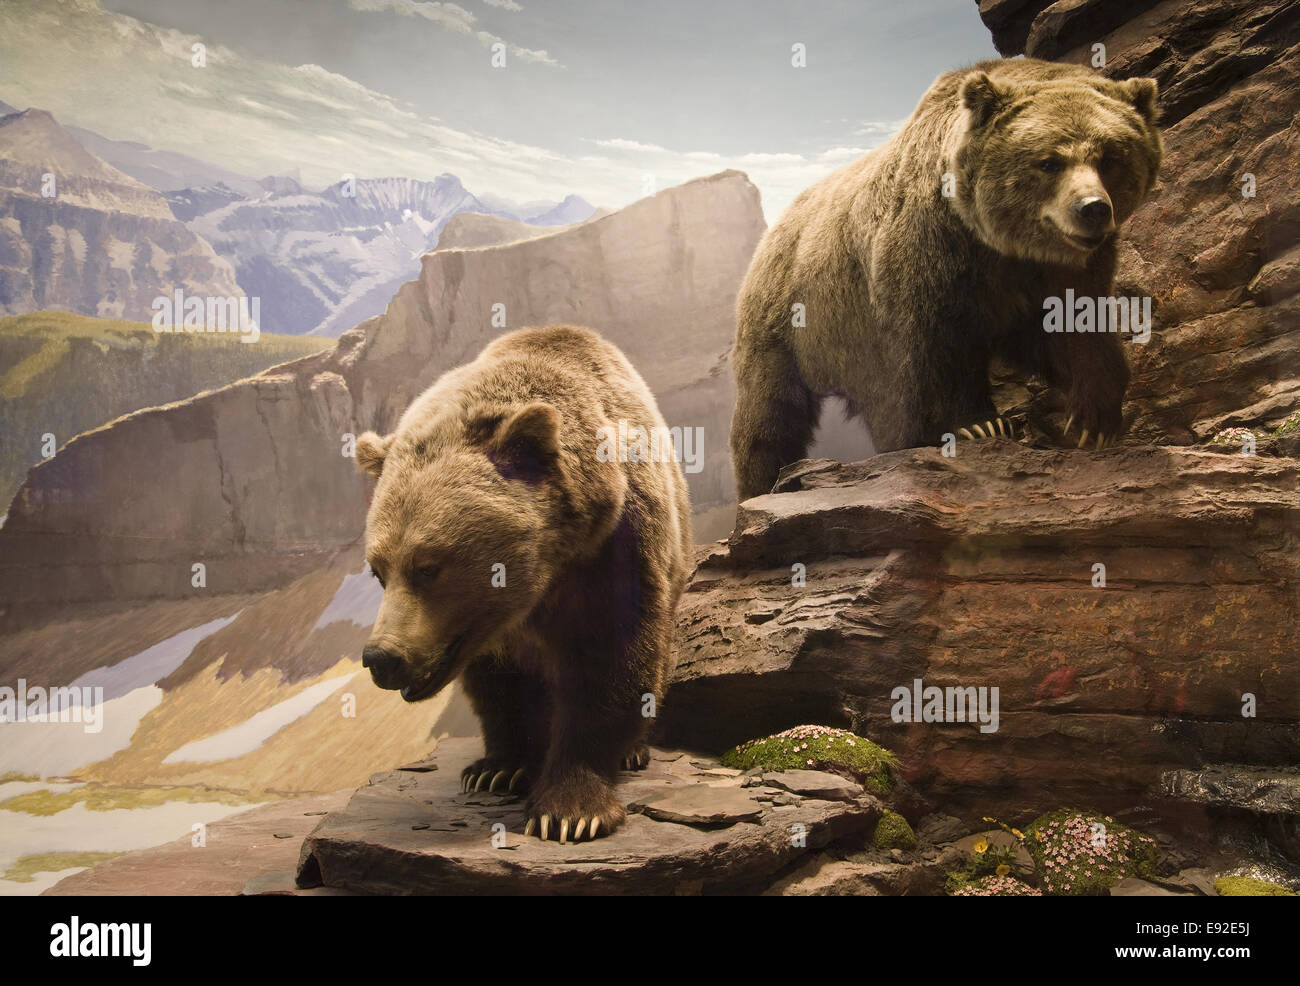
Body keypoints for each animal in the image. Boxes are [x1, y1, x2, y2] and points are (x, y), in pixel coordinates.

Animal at [353, 325, 693, 843]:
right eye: (378, 569)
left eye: (428, 567)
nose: (382, 658)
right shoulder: (481, 634)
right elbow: (499, 687)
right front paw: (499, 768)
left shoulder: (616, 549)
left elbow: (610, 662)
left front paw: (571, 809)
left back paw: (633, 751)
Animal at [729, 57, 1163, 501]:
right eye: (1049, 162)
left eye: (1110, 158)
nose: (1092, 208)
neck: (999, 245)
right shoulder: (929, 255)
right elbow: (936, 344)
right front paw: (979, 423)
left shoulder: (1065, 272)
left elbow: (1078, 326)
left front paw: (1096, 418)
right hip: (790, 318)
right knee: (770, 412)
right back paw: (765, 482)